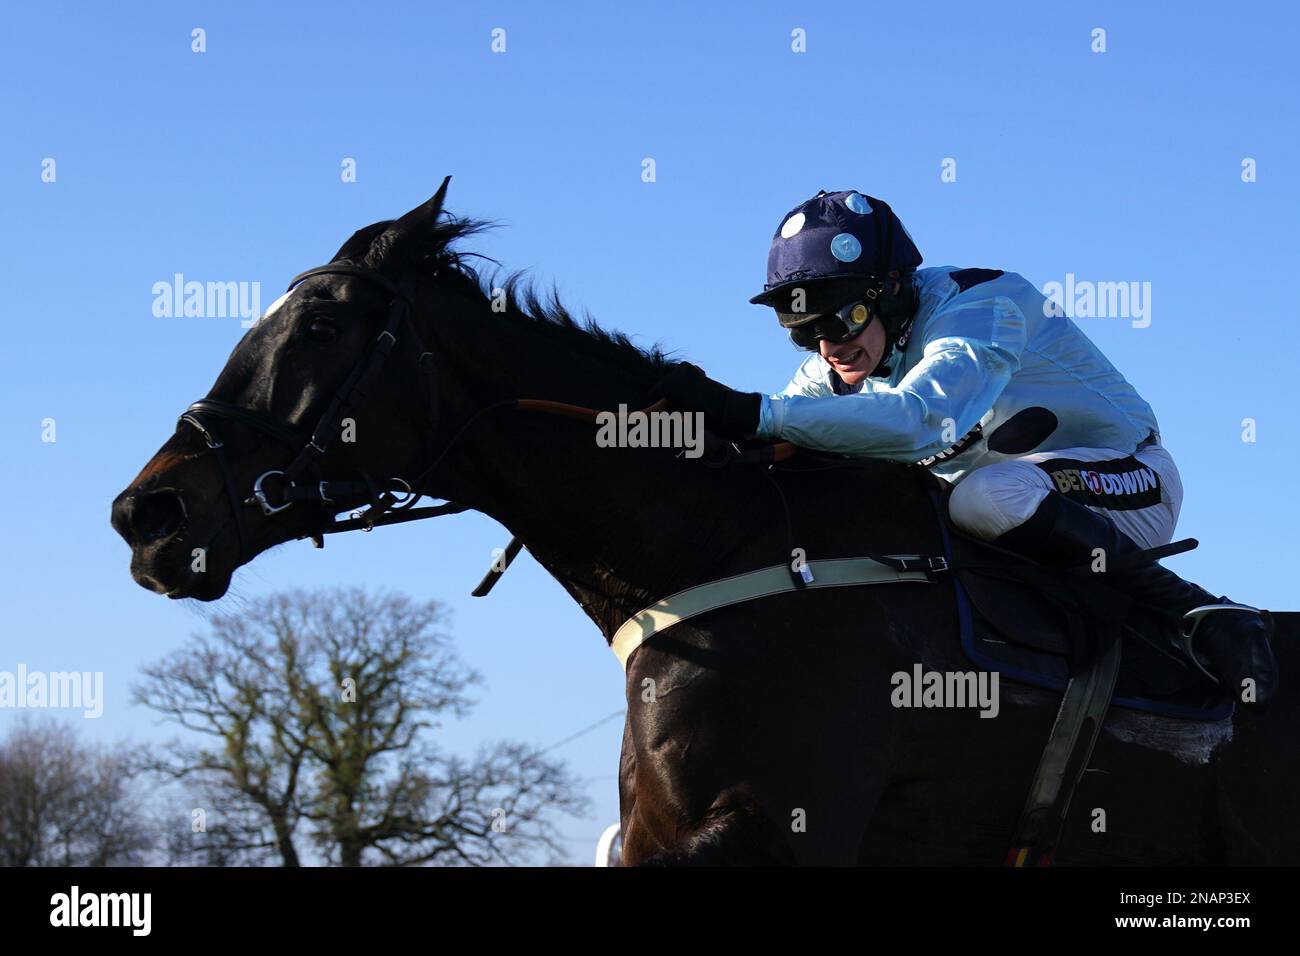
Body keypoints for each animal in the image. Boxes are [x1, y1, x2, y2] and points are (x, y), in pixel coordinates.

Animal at [111, 182, 1299, 865]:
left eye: (317, 325)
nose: (144, 512)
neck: (735, 545)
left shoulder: (781, 828)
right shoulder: (655, 830)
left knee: (999, 487)